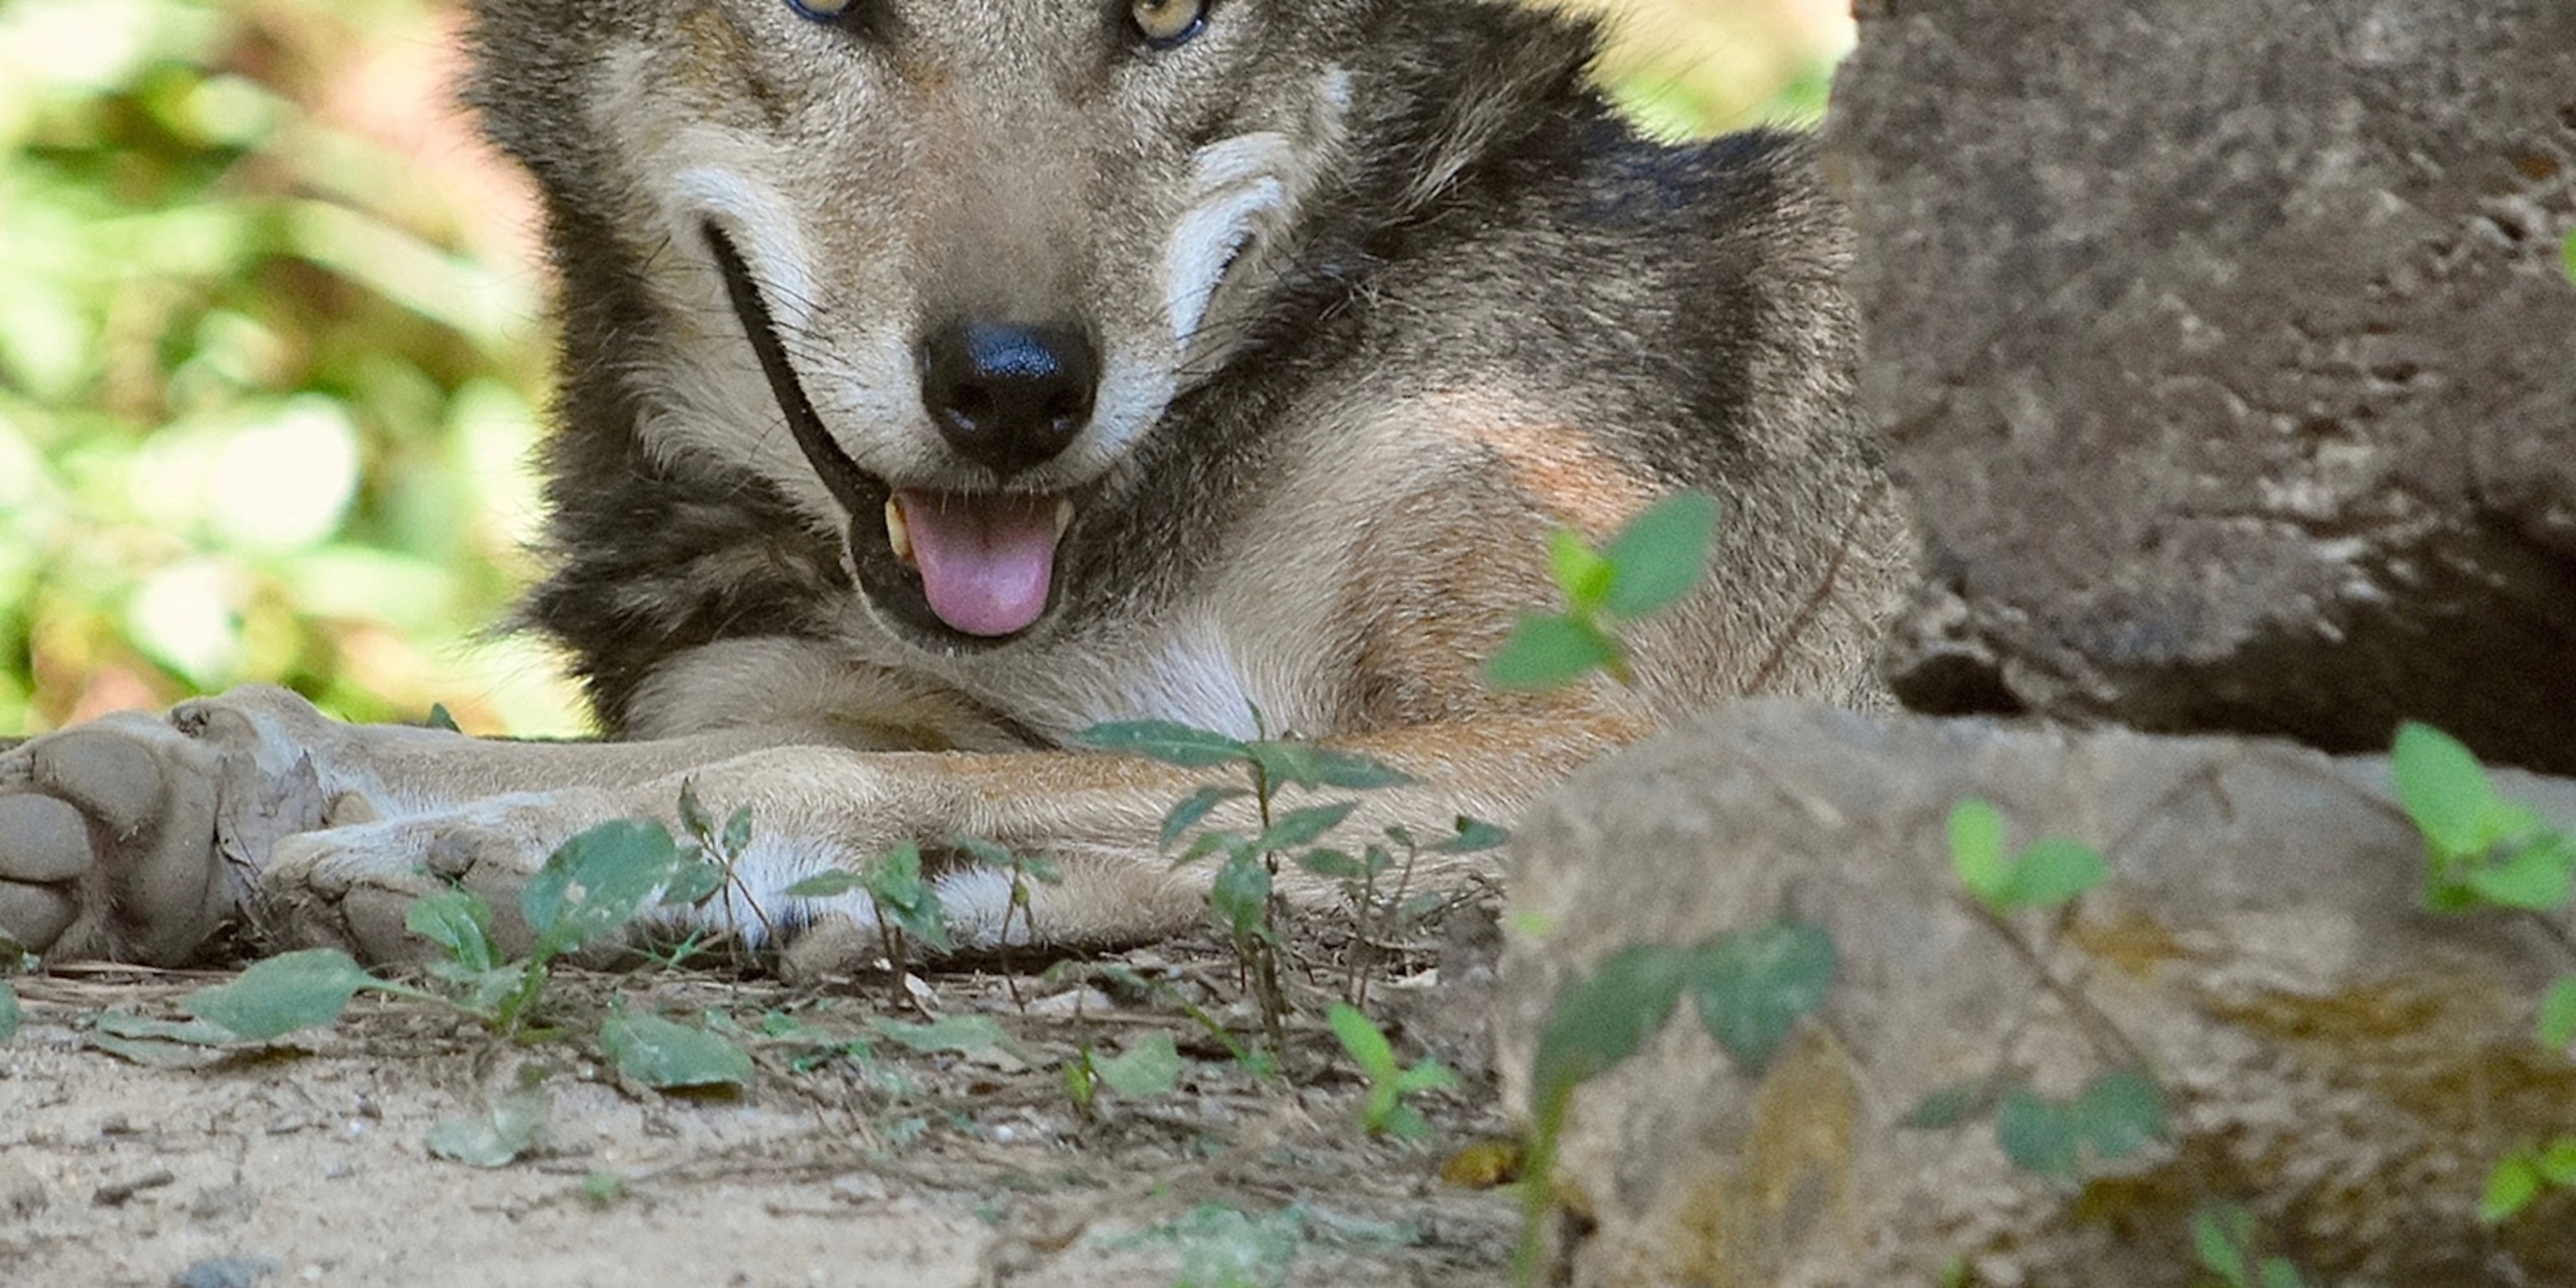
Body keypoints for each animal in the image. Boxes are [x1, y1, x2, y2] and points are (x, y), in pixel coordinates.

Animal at [0, 0, 1906, 970]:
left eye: (1170, 4)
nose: (1015, 390)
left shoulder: (1597, 742)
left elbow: (830, 773)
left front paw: (548, 856)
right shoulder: (868, 688)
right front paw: (186, 790)